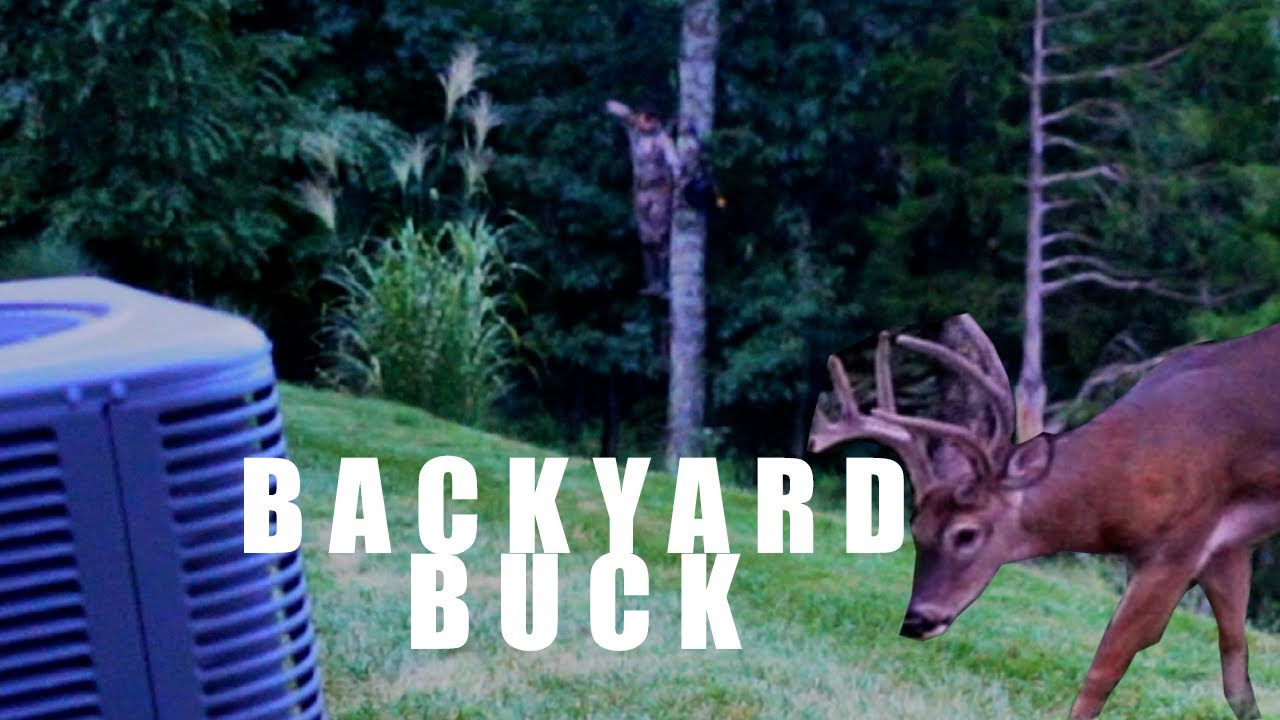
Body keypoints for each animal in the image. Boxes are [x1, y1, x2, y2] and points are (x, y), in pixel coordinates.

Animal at [808, 314, 1280, 720]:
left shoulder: (1180, 544)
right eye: (915, 528)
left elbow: (1103, 671)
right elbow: (1236, 677)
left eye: (966, 533)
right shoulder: (1227, 550)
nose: (916, 620)